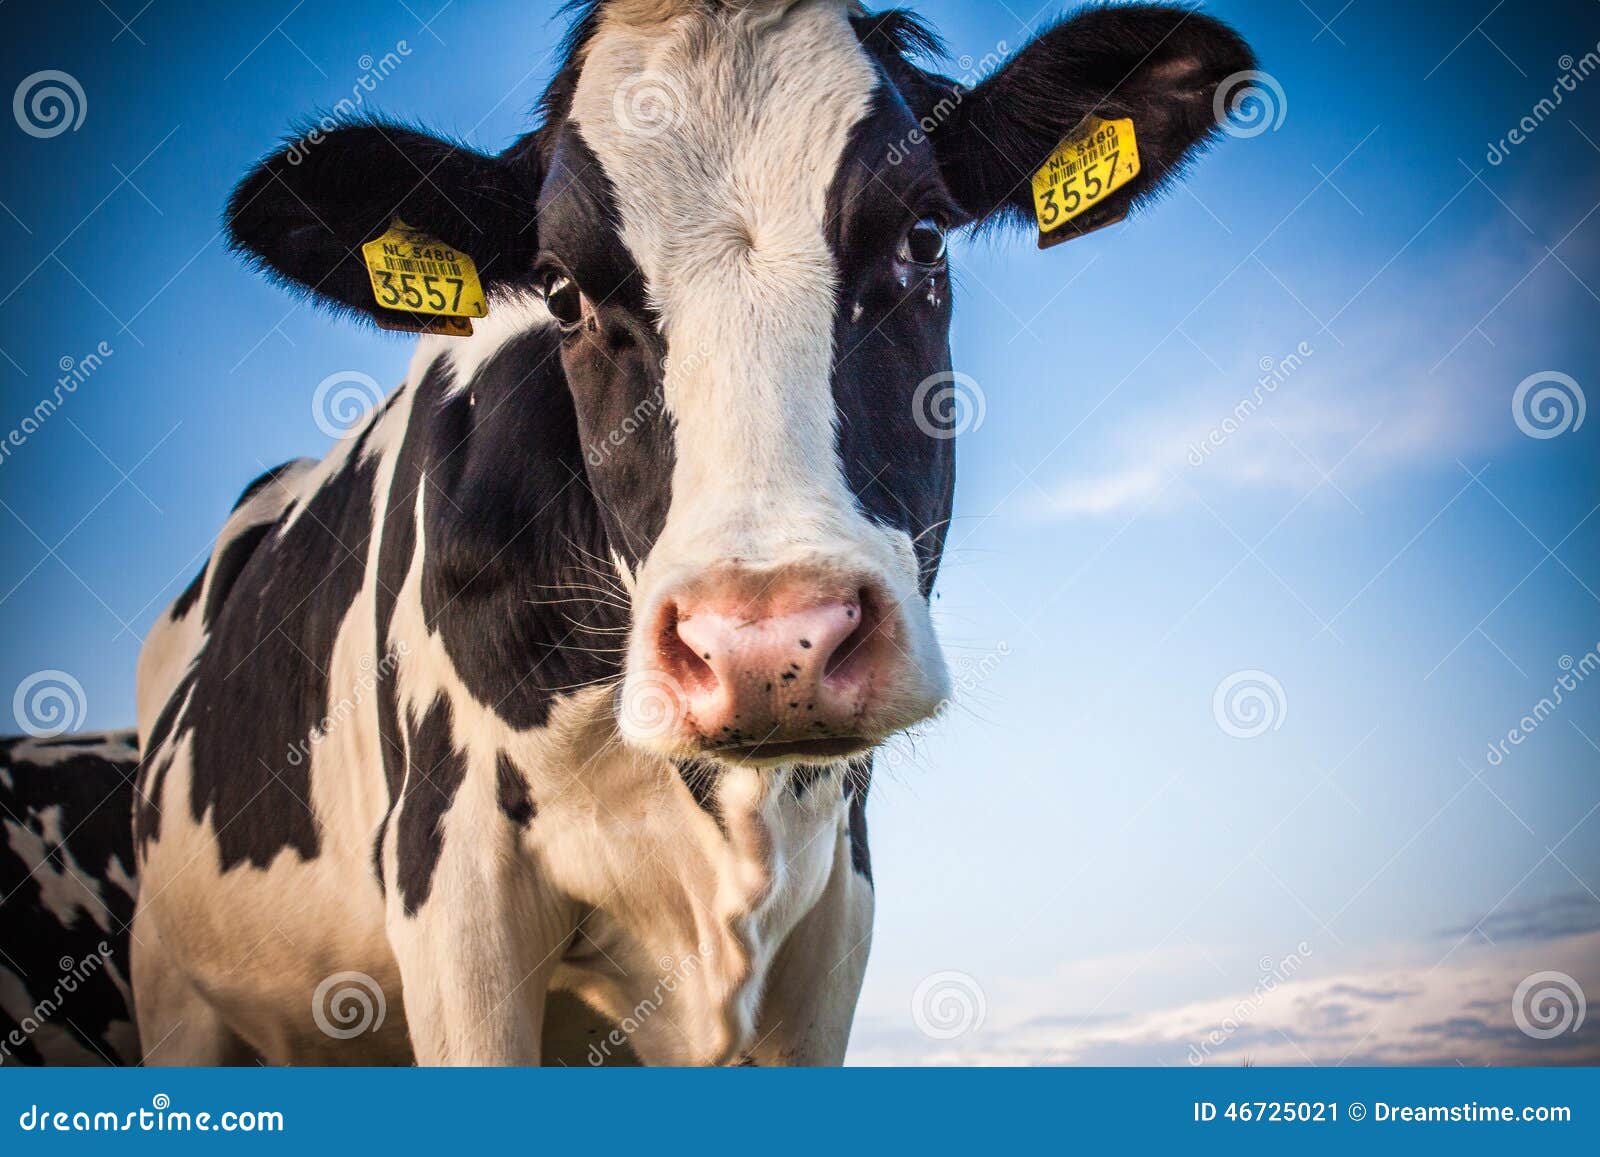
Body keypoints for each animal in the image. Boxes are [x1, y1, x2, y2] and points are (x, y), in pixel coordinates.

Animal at [127, 0, 1255, 1065]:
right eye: (562, 290)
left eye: (925, 235)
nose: (767, 647)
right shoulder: (454, 885)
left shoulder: (836, 904)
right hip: (173, 986)